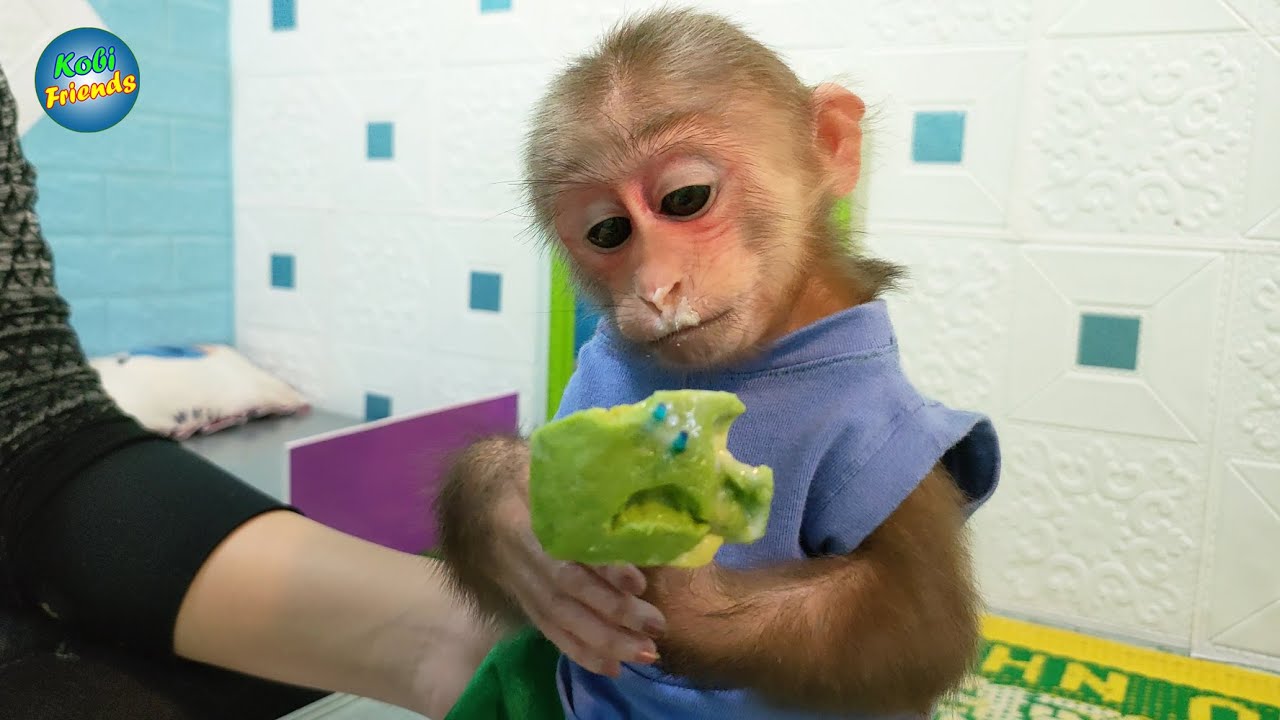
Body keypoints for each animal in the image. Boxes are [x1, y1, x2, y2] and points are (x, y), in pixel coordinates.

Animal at [434, 7, 1001, 719]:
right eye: (608, 232)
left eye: (685, 199)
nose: (656, 288)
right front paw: (514, 509)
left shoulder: (890, 437)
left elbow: (916, 623)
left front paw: (676, 591)